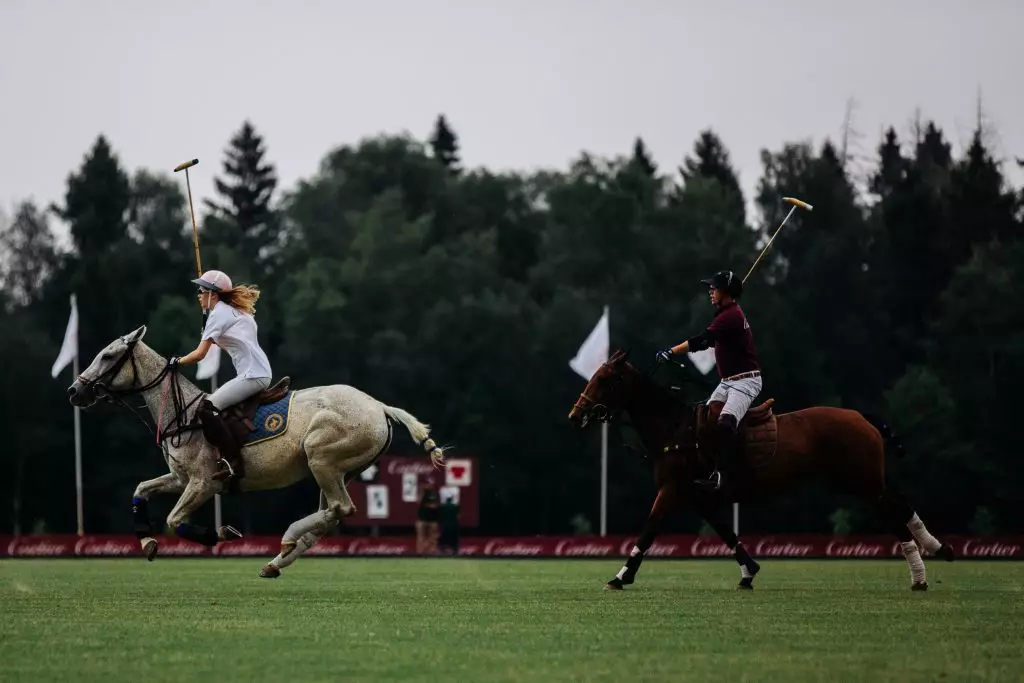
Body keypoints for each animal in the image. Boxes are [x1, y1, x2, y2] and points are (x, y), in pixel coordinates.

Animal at [66, 325, 446, 577]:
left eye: (108, 356)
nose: (74, 391)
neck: (182, 414)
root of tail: (379, 406)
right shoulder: (180, 478)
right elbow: (141, 489)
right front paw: (146, 542)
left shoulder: (204, 482)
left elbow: (174, 521)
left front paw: (222, 533)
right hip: (340, 469)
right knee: (332, 514)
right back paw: (277, 560)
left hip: (321, 456)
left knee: (340, 508)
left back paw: (287, 540)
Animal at [565, 350, 954, 589]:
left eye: (604, 379)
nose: (575, 415)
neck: (672, 427)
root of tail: (862, 416)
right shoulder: (699, 496)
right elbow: (725, 532)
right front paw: (749, 573)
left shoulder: (673, 489)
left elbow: (648, 530)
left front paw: (620, 576)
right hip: (857, 478)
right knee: (900, 503)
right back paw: (939, 550)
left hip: (860, 479)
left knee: (893, 511)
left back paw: (920, 575)